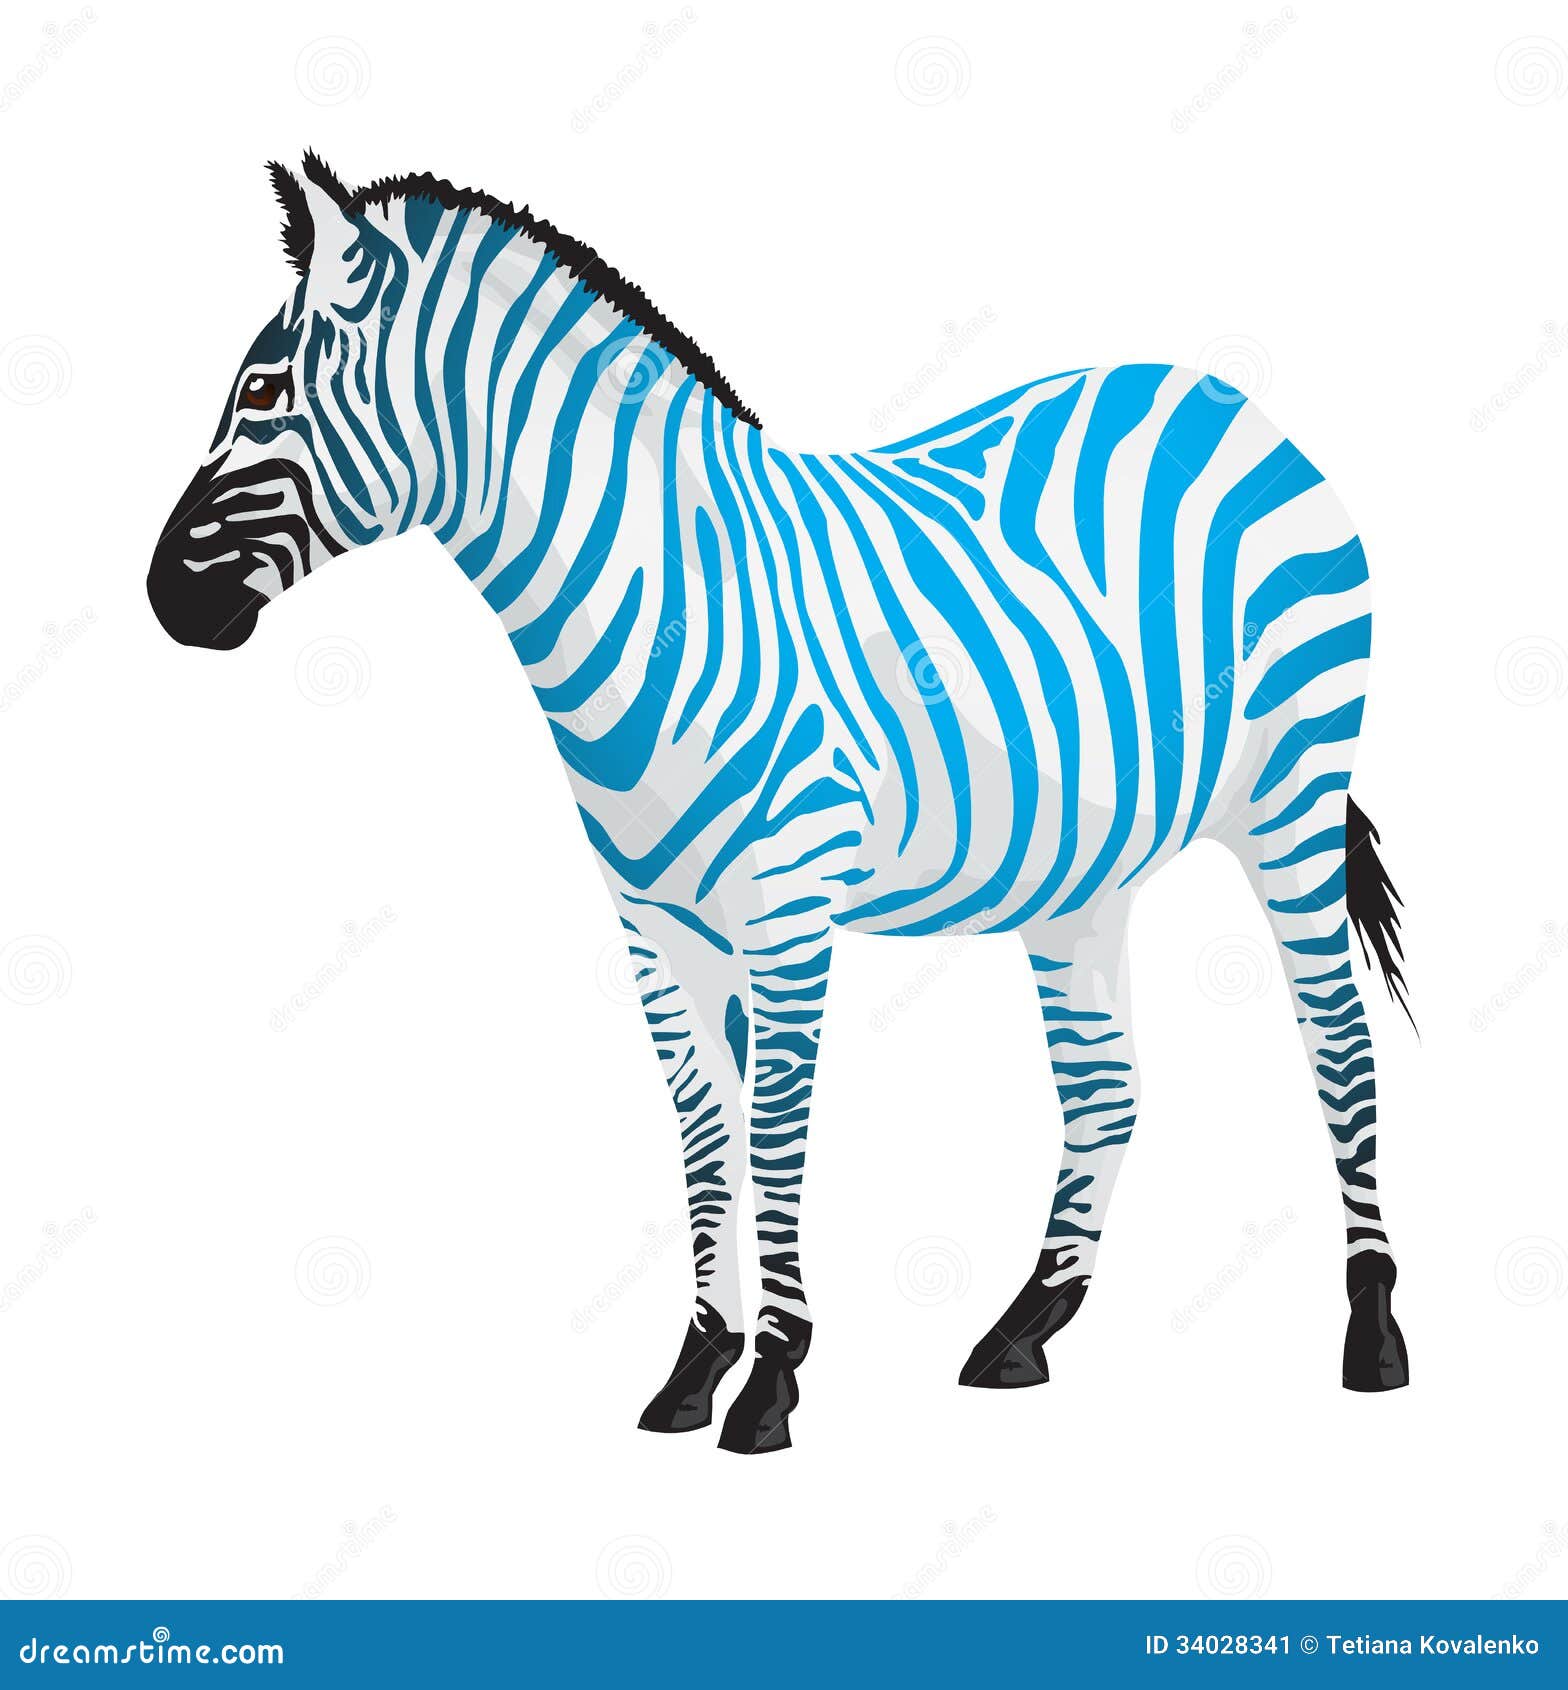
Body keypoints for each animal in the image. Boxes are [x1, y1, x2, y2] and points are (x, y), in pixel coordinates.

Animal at [148, 155, 1412, 1453]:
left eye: (260, 391)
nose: (161, 598)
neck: (658, 597)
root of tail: (1224, 399)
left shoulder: (787, 904)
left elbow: (775, 1129)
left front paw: (770, 1379)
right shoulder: (653, 921)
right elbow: (705, 1129)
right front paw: (694, 1365)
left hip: (1290, 798)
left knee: (1339, 1043)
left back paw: (1370, 1334)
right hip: (1083, 864)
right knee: (1105, 1085)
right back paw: (1024, 1329)